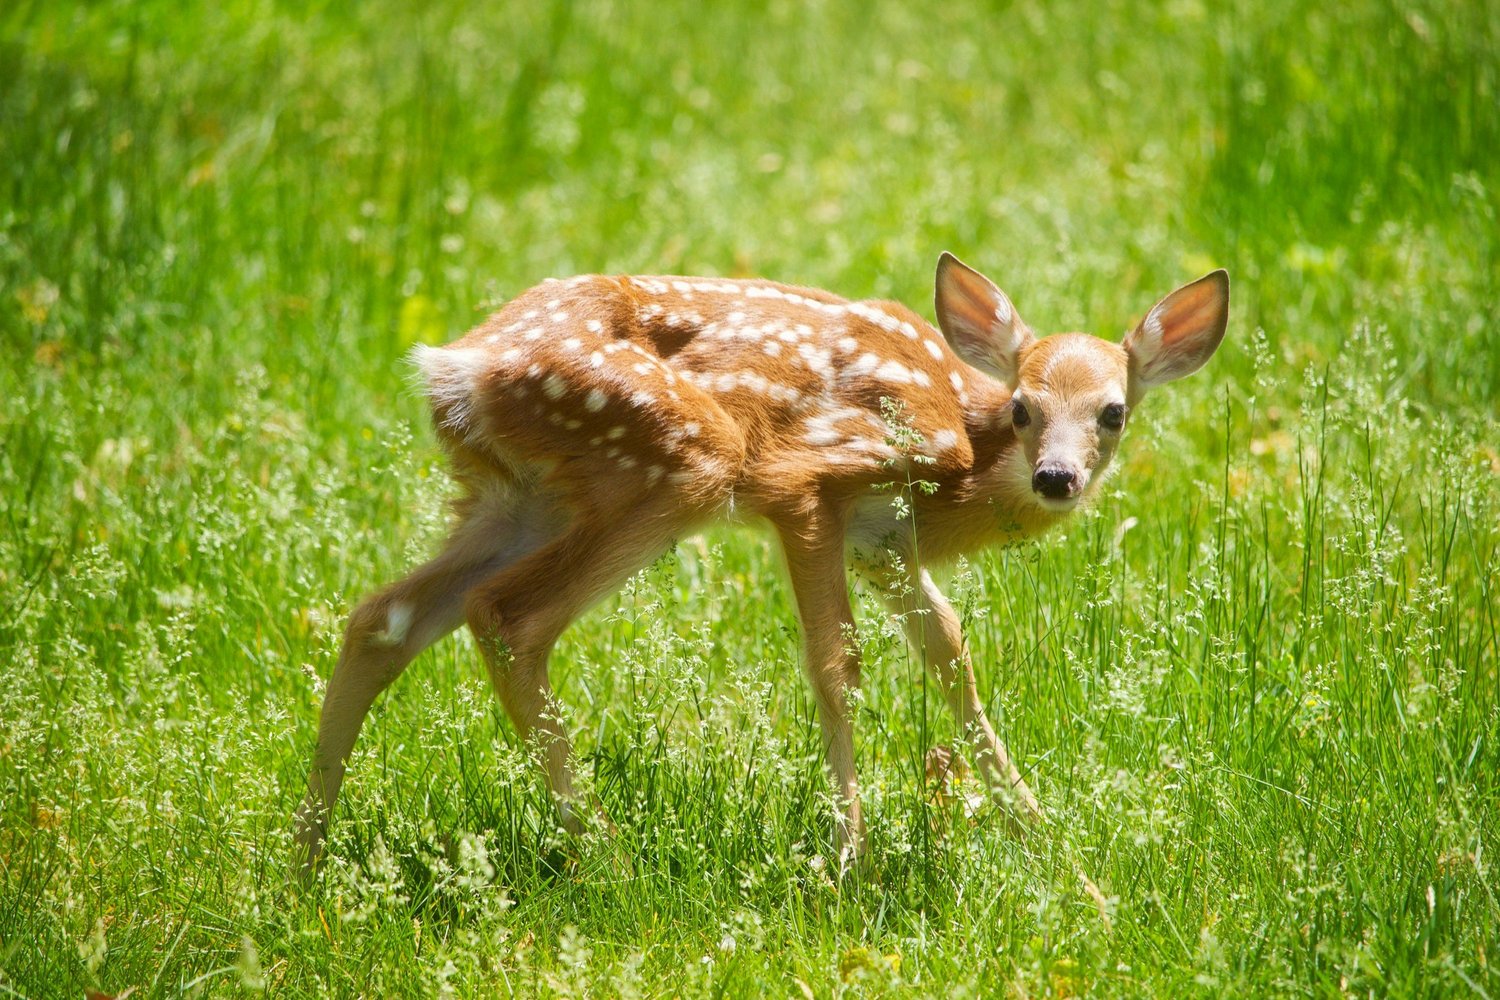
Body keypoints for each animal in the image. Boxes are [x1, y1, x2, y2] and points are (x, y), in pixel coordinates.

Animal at [292, 253, 1229, 873]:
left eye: (1113, 412)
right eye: (1026, 407)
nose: (1056, 477)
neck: (959, 450)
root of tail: (455, 367)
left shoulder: (884, 540)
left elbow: (950, 652)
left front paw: (1049, 847)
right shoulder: (807, 483)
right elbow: (837, 661)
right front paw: (849, 863)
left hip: (524, 496)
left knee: (385, 617)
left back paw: (305, 859)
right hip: (675, 460)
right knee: (508, 617)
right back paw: (606, 859)